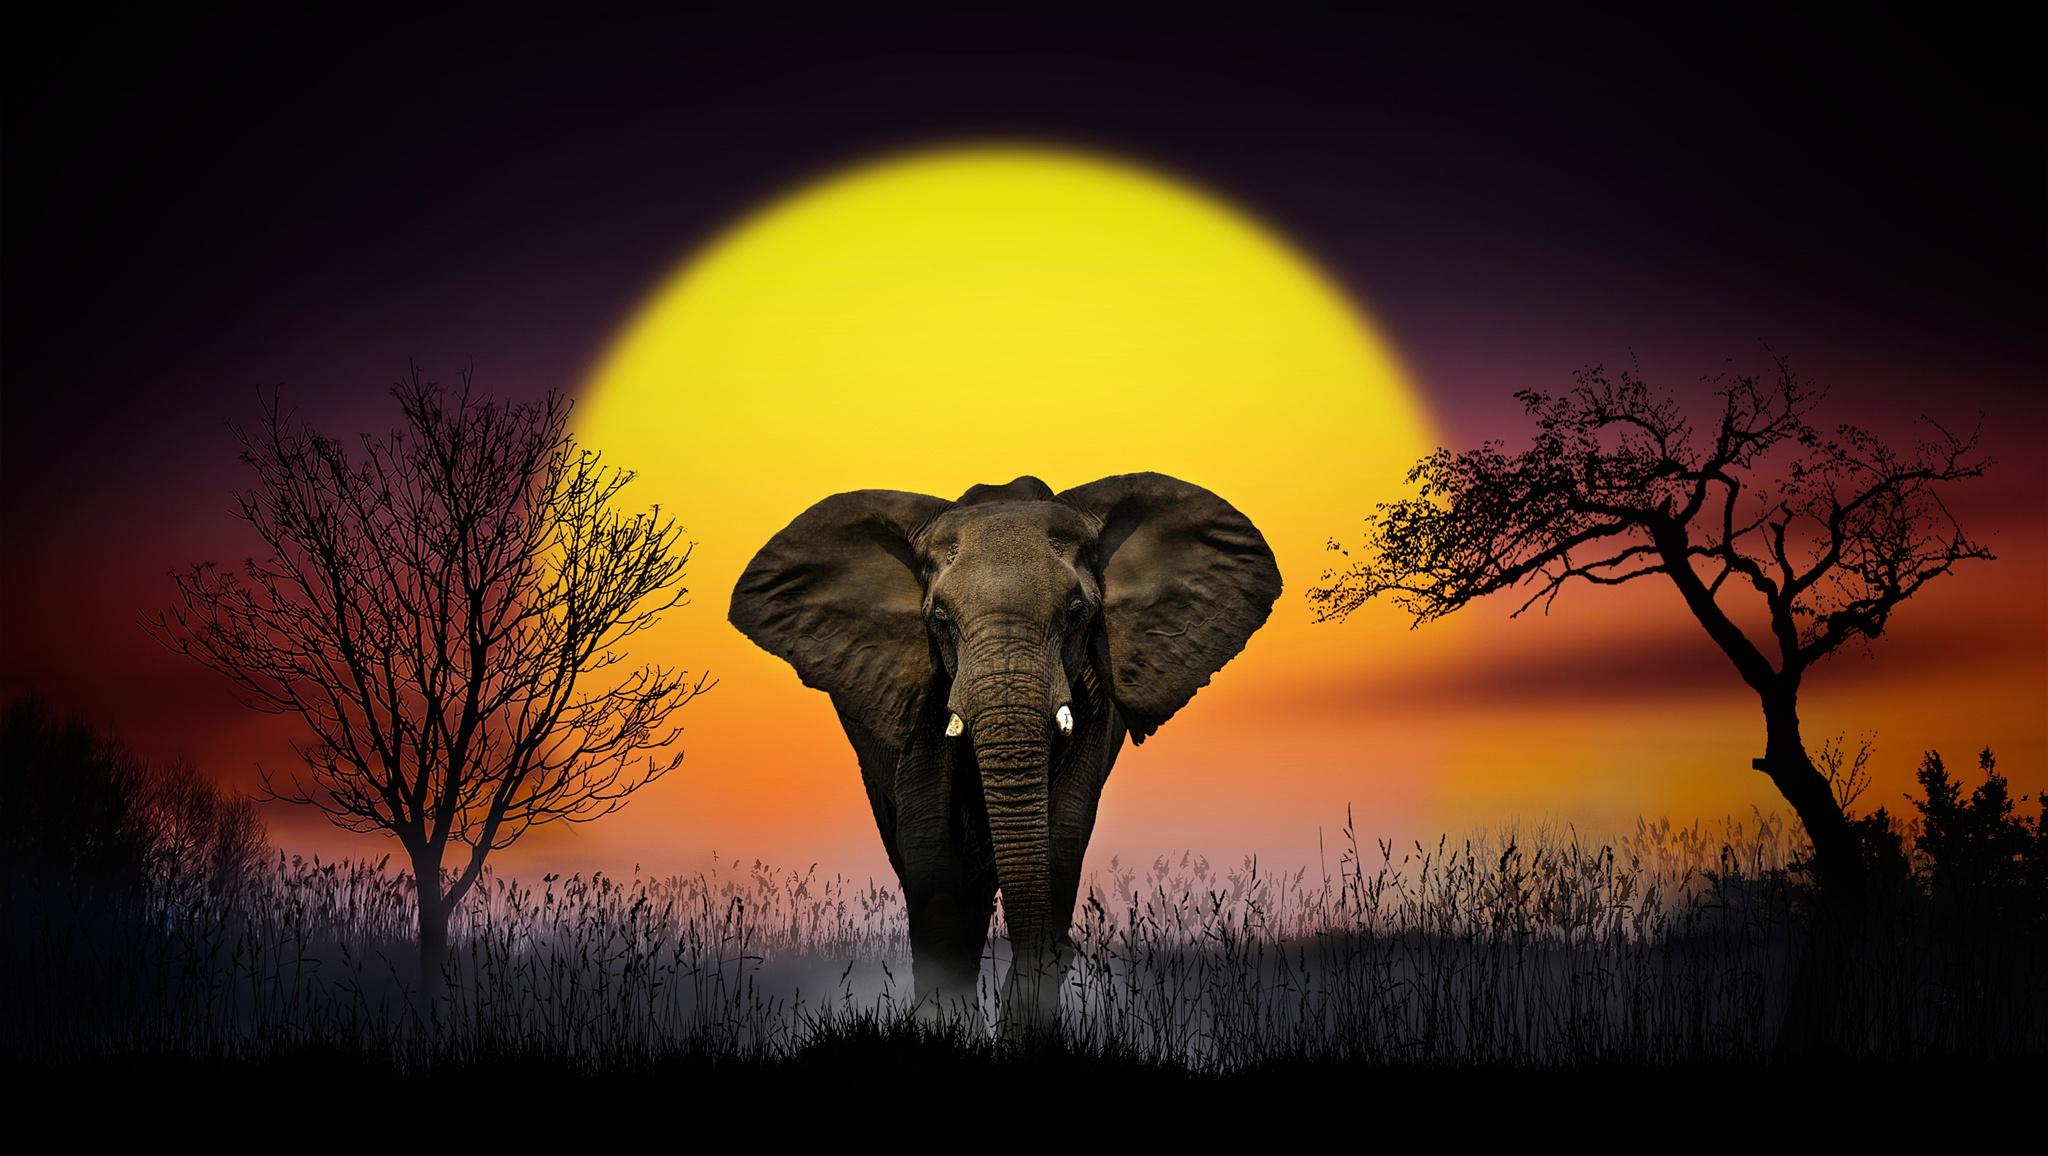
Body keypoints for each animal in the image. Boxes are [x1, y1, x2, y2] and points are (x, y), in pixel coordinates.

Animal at [728, 473, 1280, 1026]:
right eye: (940, 619)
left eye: (1076, 614)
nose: (1066, 955)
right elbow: (932, 842)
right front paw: (947, 1024)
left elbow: (1063, 831)